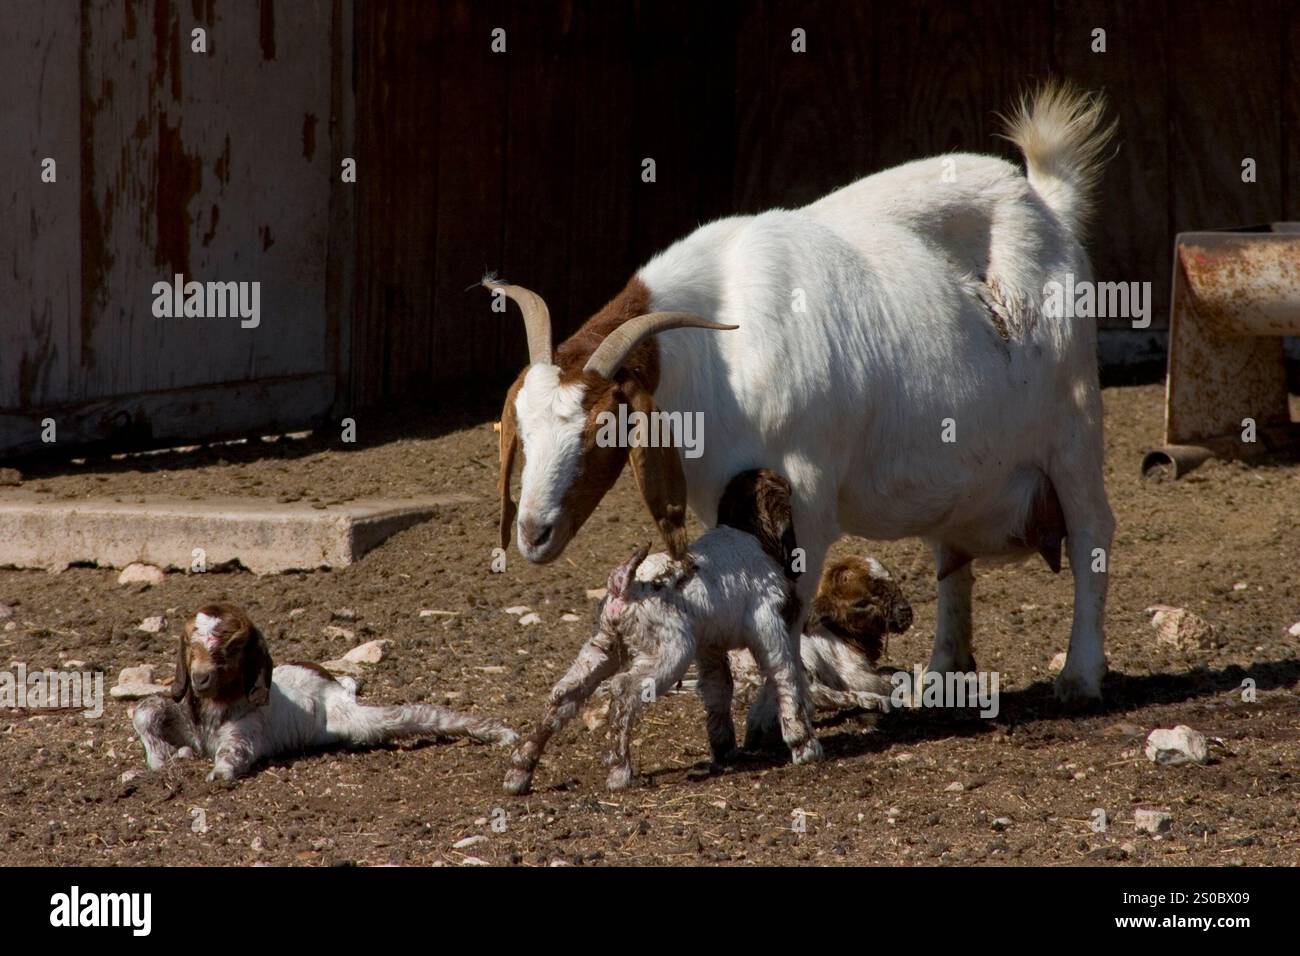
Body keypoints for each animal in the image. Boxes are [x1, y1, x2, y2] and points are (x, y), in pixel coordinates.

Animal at [133, 603, 517, 781]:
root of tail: (330, 683)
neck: (217, 707)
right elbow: (146, 710)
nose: (200, 678)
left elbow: (235, 751)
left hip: (348, 718)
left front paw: (220, 772)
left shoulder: (249, 731)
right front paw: (162, 757)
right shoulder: (188, 714)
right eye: (189, 646)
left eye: (232, 648)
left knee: (408, 716)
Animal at [491, 82, 1116, 713]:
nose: (533, 533)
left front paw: (773, 715)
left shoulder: (807, 495)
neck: (719, 349)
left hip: (1074, 427)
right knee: (952, 560)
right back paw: (944, 673)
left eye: (603, 428)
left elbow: (788, 609)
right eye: (522, 428)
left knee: (1092, 533)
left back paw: (1080, 677)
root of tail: (1046, 203)